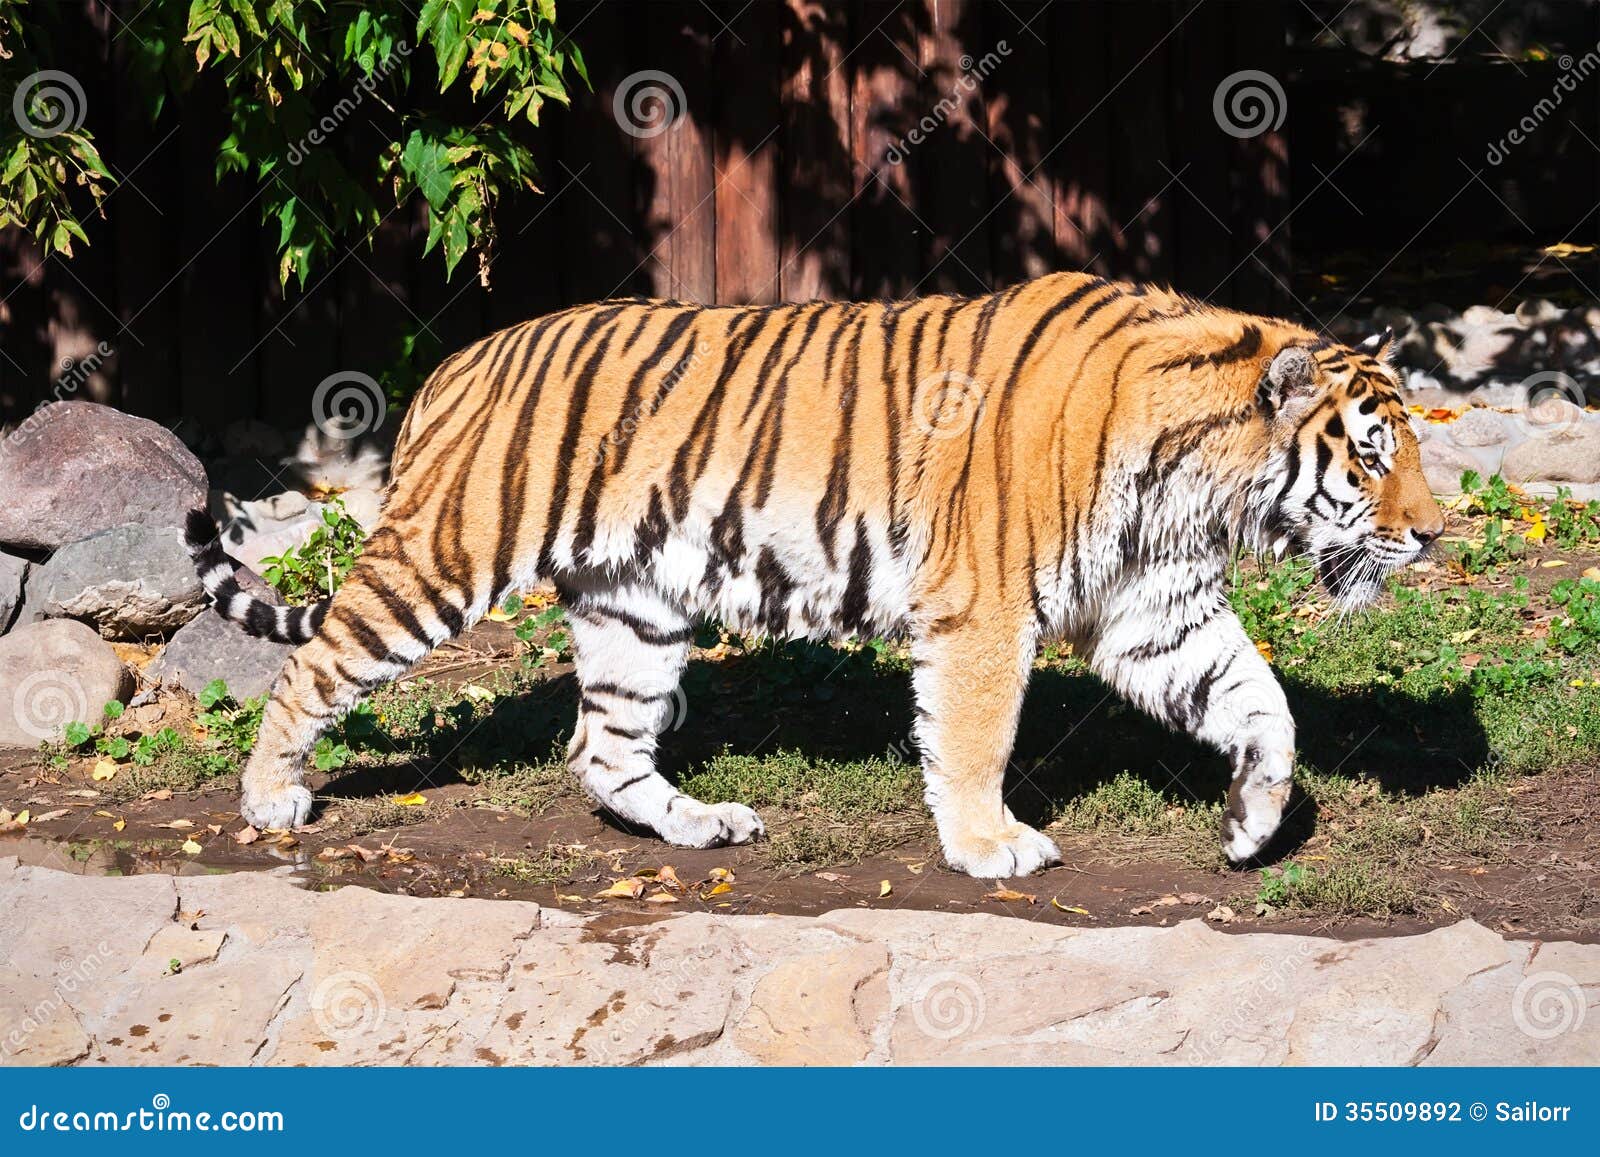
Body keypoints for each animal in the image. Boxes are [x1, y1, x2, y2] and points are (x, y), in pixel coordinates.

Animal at [185, 271, 1444, 878]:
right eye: (1374, 456)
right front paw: (989, 846)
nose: (1435, 533)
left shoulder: (1155, 611)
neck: (1202, 479)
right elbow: (975, 736)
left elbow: (1263, 705)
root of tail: (454, 360)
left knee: (602, 747)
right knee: (312, 668)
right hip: (441, 557)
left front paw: (1254, 821)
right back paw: (269, 796)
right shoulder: (983, 608)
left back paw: (701, 823)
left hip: (635, 608)